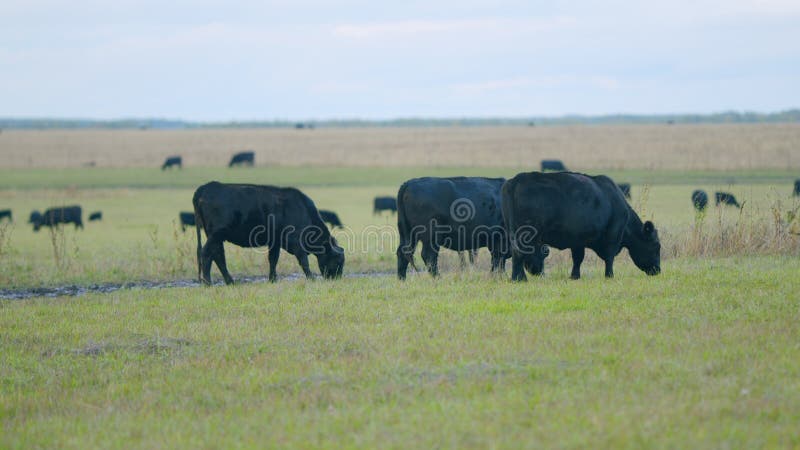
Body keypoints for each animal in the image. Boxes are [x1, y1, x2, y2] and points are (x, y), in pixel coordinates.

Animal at [193, 182, 344, 284]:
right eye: (338, 260)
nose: (336, 279)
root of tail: (207, 187)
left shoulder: (275, 242)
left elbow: (273, 259)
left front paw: (272, 279)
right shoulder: (296, 242)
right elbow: (303, 261)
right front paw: (311, 277)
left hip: (217, 237)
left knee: (217, 255)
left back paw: (230, 282)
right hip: (216, 234)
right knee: (206, 253)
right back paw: (208, 282)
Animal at [501, 172, 661, 281]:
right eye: (656, 246)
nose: (658, 270)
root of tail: (515, 181)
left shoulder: (577, 241)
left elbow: (577, 258)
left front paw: (574, 276)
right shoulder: (612, 236)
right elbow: (609, 258)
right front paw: (609, 276)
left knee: (516, 253)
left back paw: (516, 278)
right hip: (525, 235)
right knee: (519, 252)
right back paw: (519, 278)